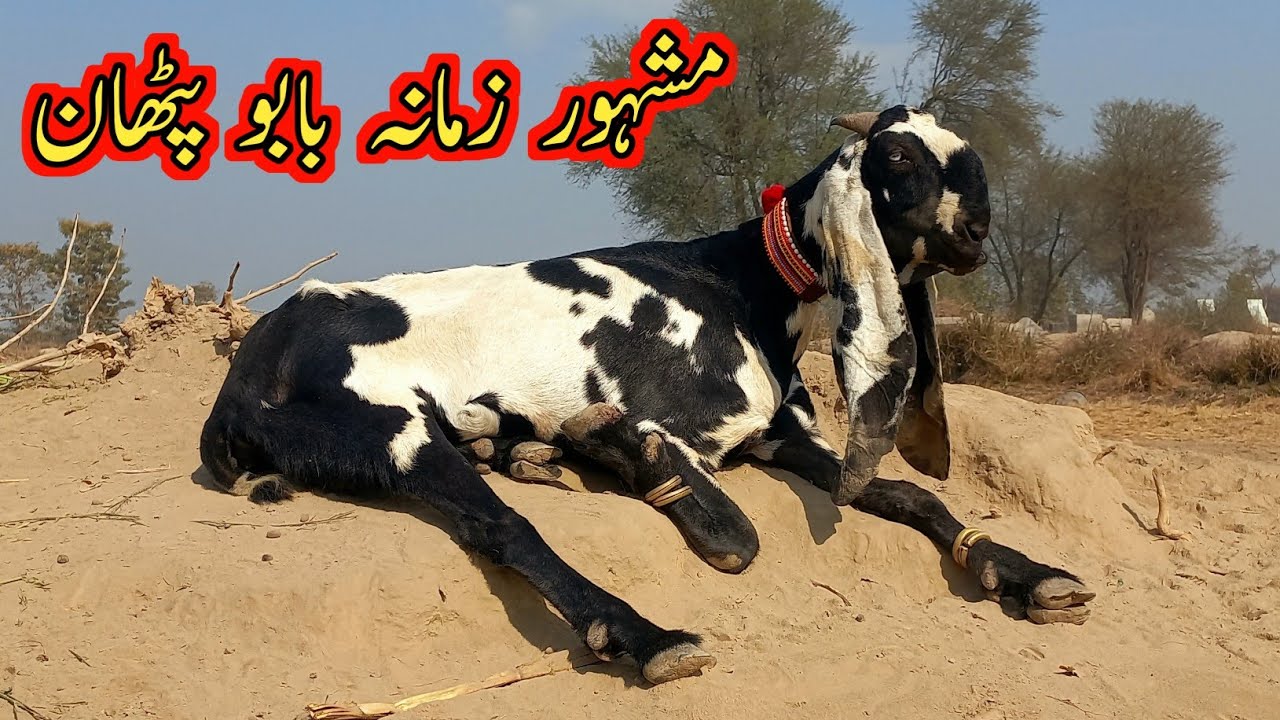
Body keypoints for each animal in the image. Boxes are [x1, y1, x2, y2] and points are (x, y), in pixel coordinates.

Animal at [200, 105, 1094, 685]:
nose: (977, 230)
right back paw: (644, 633)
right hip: (395, 431)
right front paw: (614, 449)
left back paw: (512, 445)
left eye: (968, 160)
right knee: (504, 529)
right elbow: (736, 535)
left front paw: (1024, 572)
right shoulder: (687, 429)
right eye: (900, 161)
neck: (741, 283)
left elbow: (916, 496)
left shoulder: (786, 437)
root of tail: (247, 373)